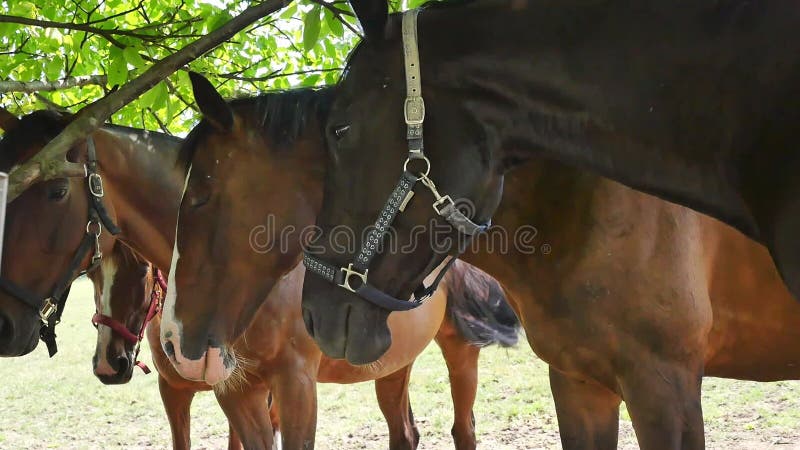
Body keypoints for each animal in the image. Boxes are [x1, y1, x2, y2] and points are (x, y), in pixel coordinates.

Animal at [0, 107, 519, 450]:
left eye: (56, 191)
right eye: (93, 273)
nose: (6, 324)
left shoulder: (294, 386)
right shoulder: (235, 391)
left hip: (460, 352)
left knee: (463, 428)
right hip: (393, 364)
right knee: (404, 432)